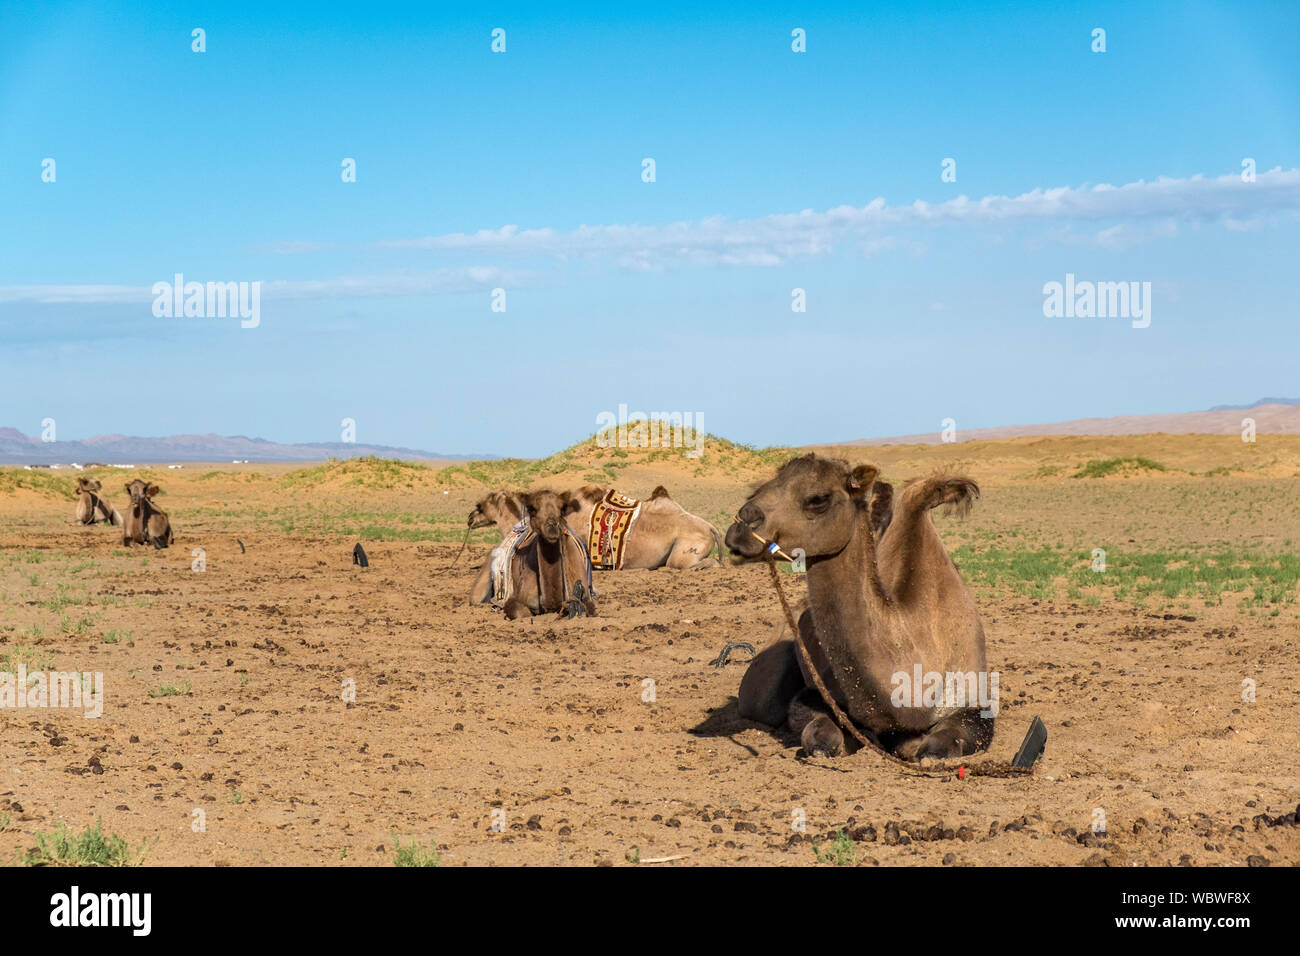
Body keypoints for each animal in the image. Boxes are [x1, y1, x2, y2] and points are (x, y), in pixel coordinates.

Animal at [724, 453, 993, 761]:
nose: (740, 526)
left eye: (818, 499)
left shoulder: (974, 698)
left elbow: (943, 743)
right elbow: (820, 732)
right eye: (757, 488)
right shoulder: (819, 693)